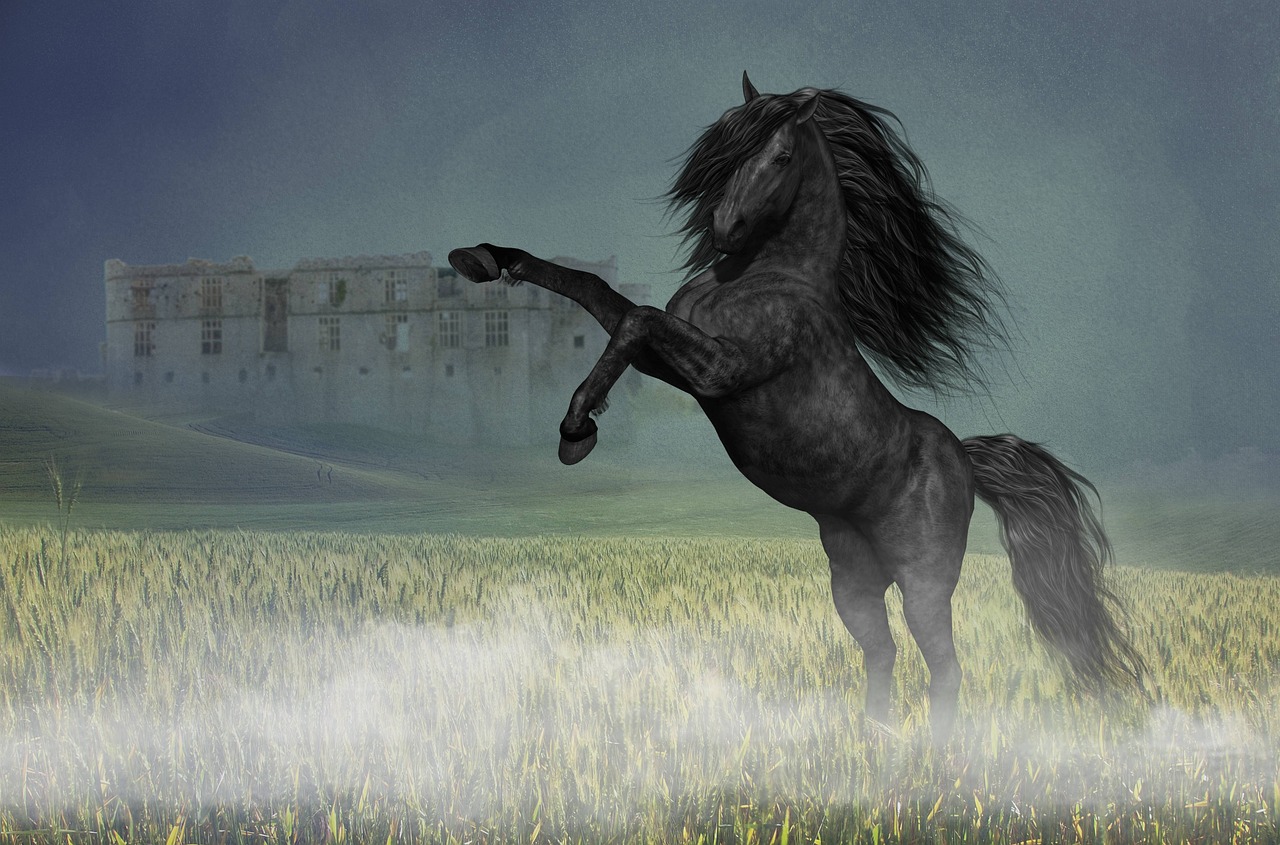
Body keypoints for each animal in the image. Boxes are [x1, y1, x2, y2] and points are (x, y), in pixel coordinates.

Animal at [448, 72, 1145, 741]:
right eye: (727, 153)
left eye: (780, 155)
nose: (722, 229)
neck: (773, 276)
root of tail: (968, 463)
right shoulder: (672, 362)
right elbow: (597, 292)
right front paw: (482, 260)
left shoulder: (719, 371)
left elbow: (636, 317)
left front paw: (576, 430)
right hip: (854, 580)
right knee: (882, 654)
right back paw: (870, 743)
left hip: (924, 580)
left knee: (944, 668)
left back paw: (935, 757)